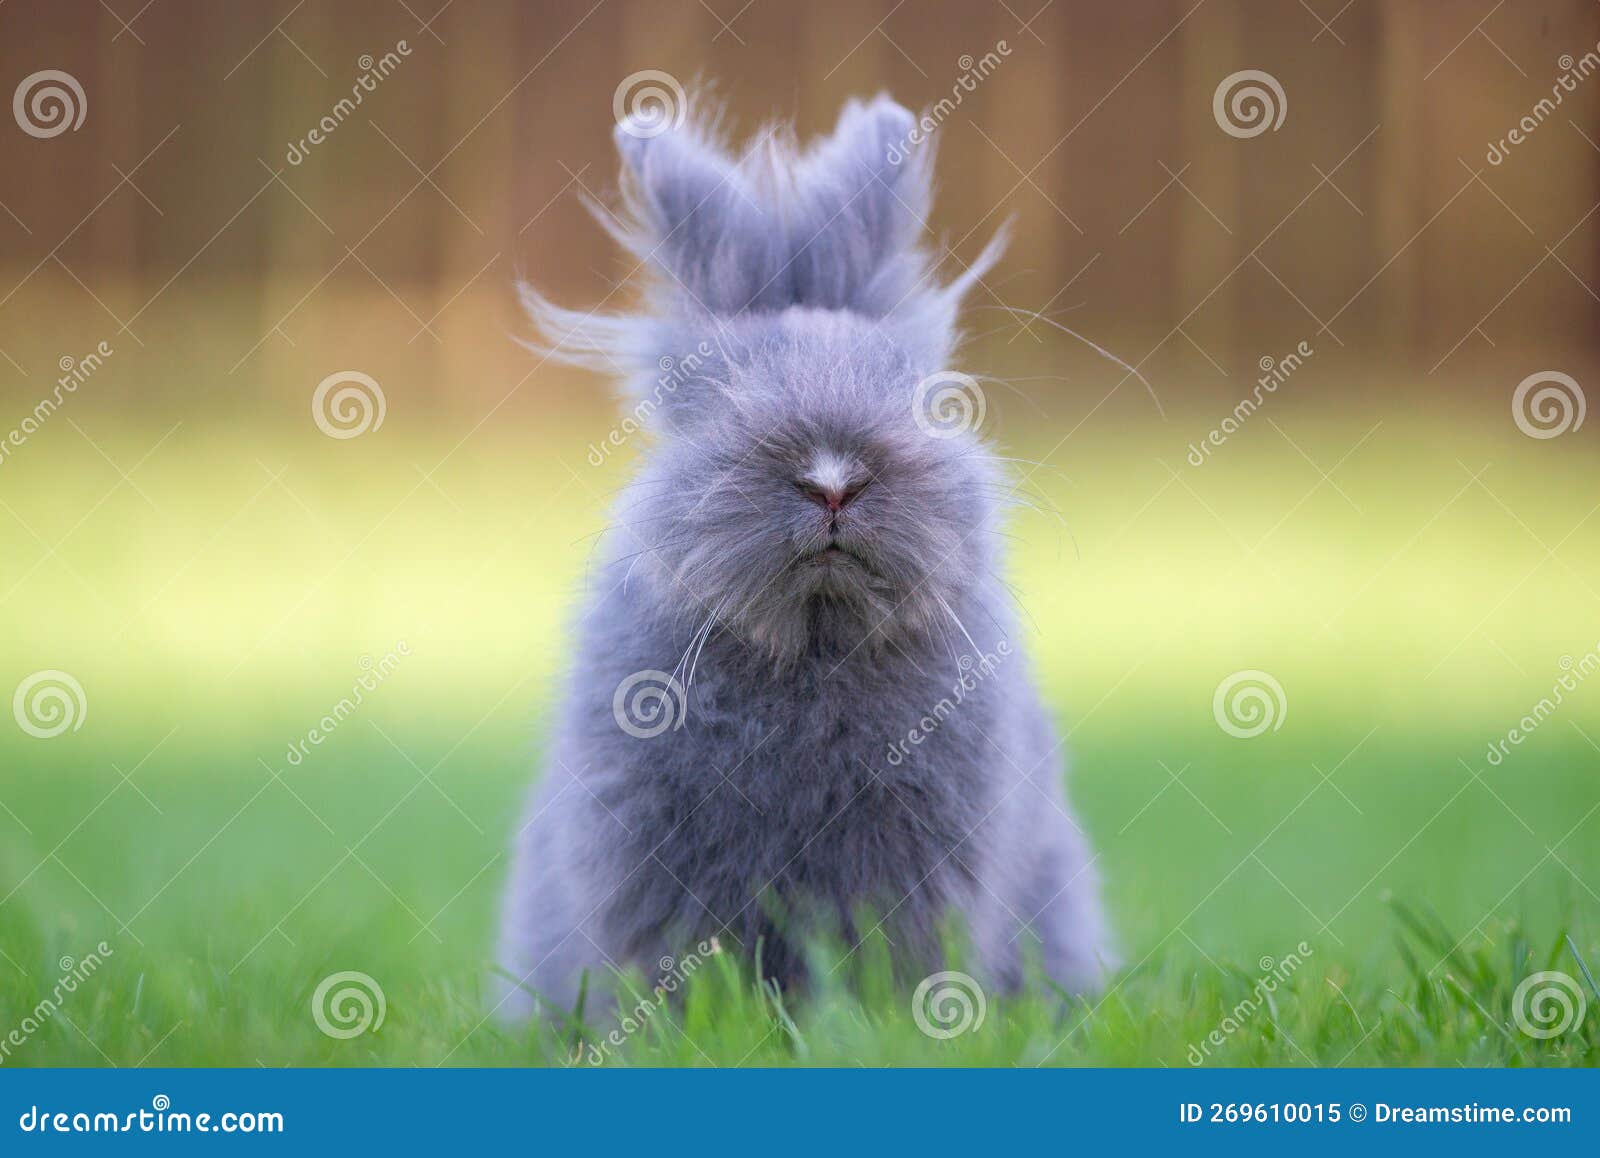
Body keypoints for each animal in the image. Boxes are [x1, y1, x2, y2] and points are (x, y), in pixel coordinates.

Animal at [496, 94, 1113, 1022]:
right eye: (713, 398)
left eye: (920, 393)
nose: (833, 479)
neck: (817, 636)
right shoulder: (652, 861)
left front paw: (882, 1023)